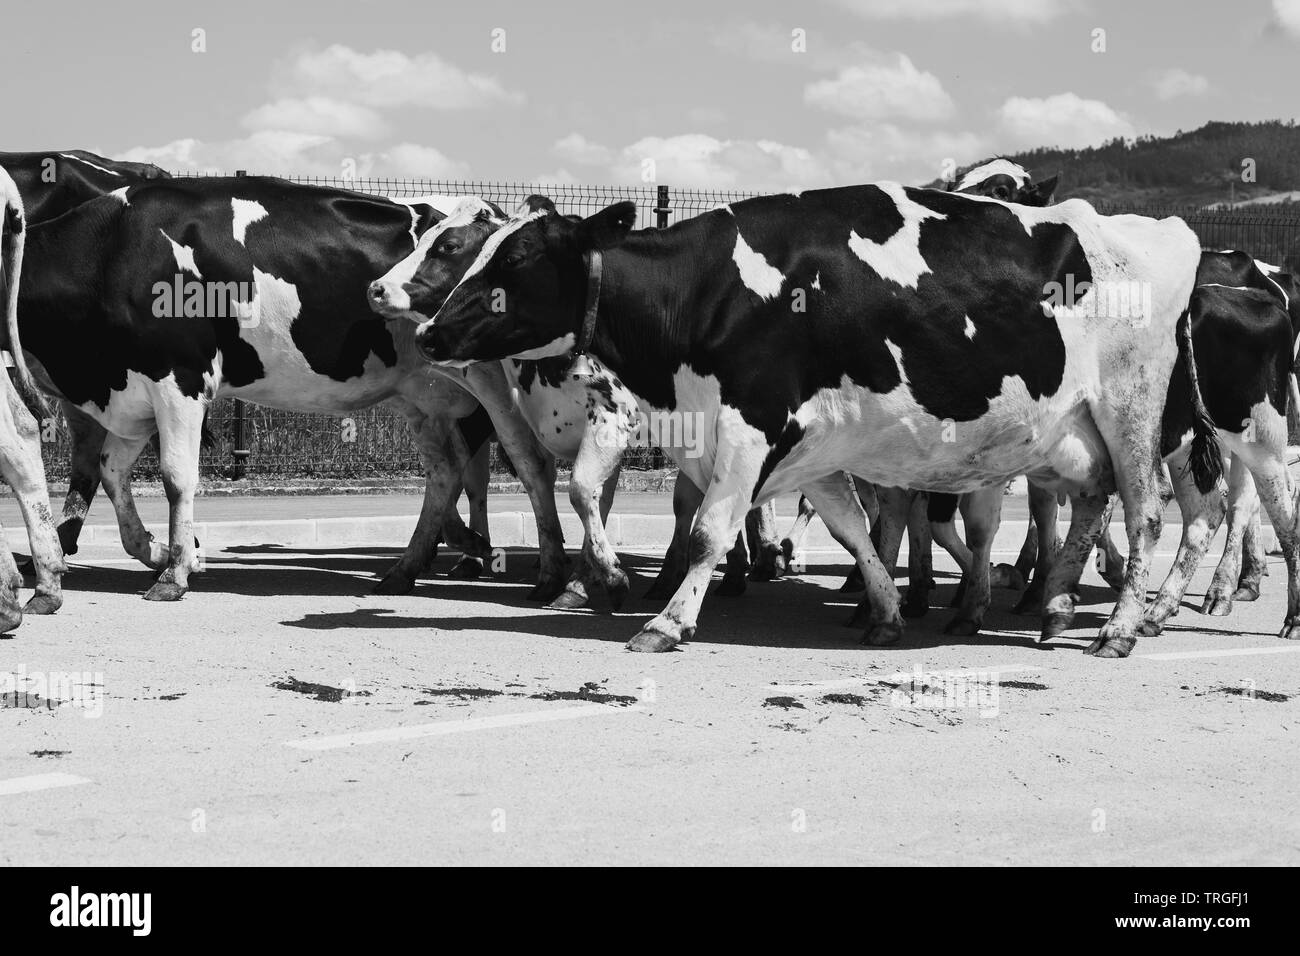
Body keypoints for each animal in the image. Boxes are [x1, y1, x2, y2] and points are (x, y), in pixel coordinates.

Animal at [15, 176, 569, 601]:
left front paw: (173, 573)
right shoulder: (132, 390)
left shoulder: (181, 379)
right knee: (445, 472)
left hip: (491, 380)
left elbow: (175, 477)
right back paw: (411, 567)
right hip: (420, 392)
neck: (114, 249)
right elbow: (111, 472)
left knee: (528, 461)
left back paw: (549, 574)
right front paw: (159, 551)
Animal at [415, 183, 1208, 657]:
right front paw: (885, 612)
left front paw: (666, 621)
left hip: (1133, 412)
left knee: (1145, 516)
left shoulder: (752, 423)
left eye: (516, 255)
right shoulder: (812, 448)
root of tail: (1165, 230)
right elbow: (853, 532)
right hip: (1074, 433)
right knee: (1091, 506)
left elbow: (708, 532)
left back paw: (1120, 628)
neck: (708, 295)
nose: (428, 333)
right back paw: (1055, 608)